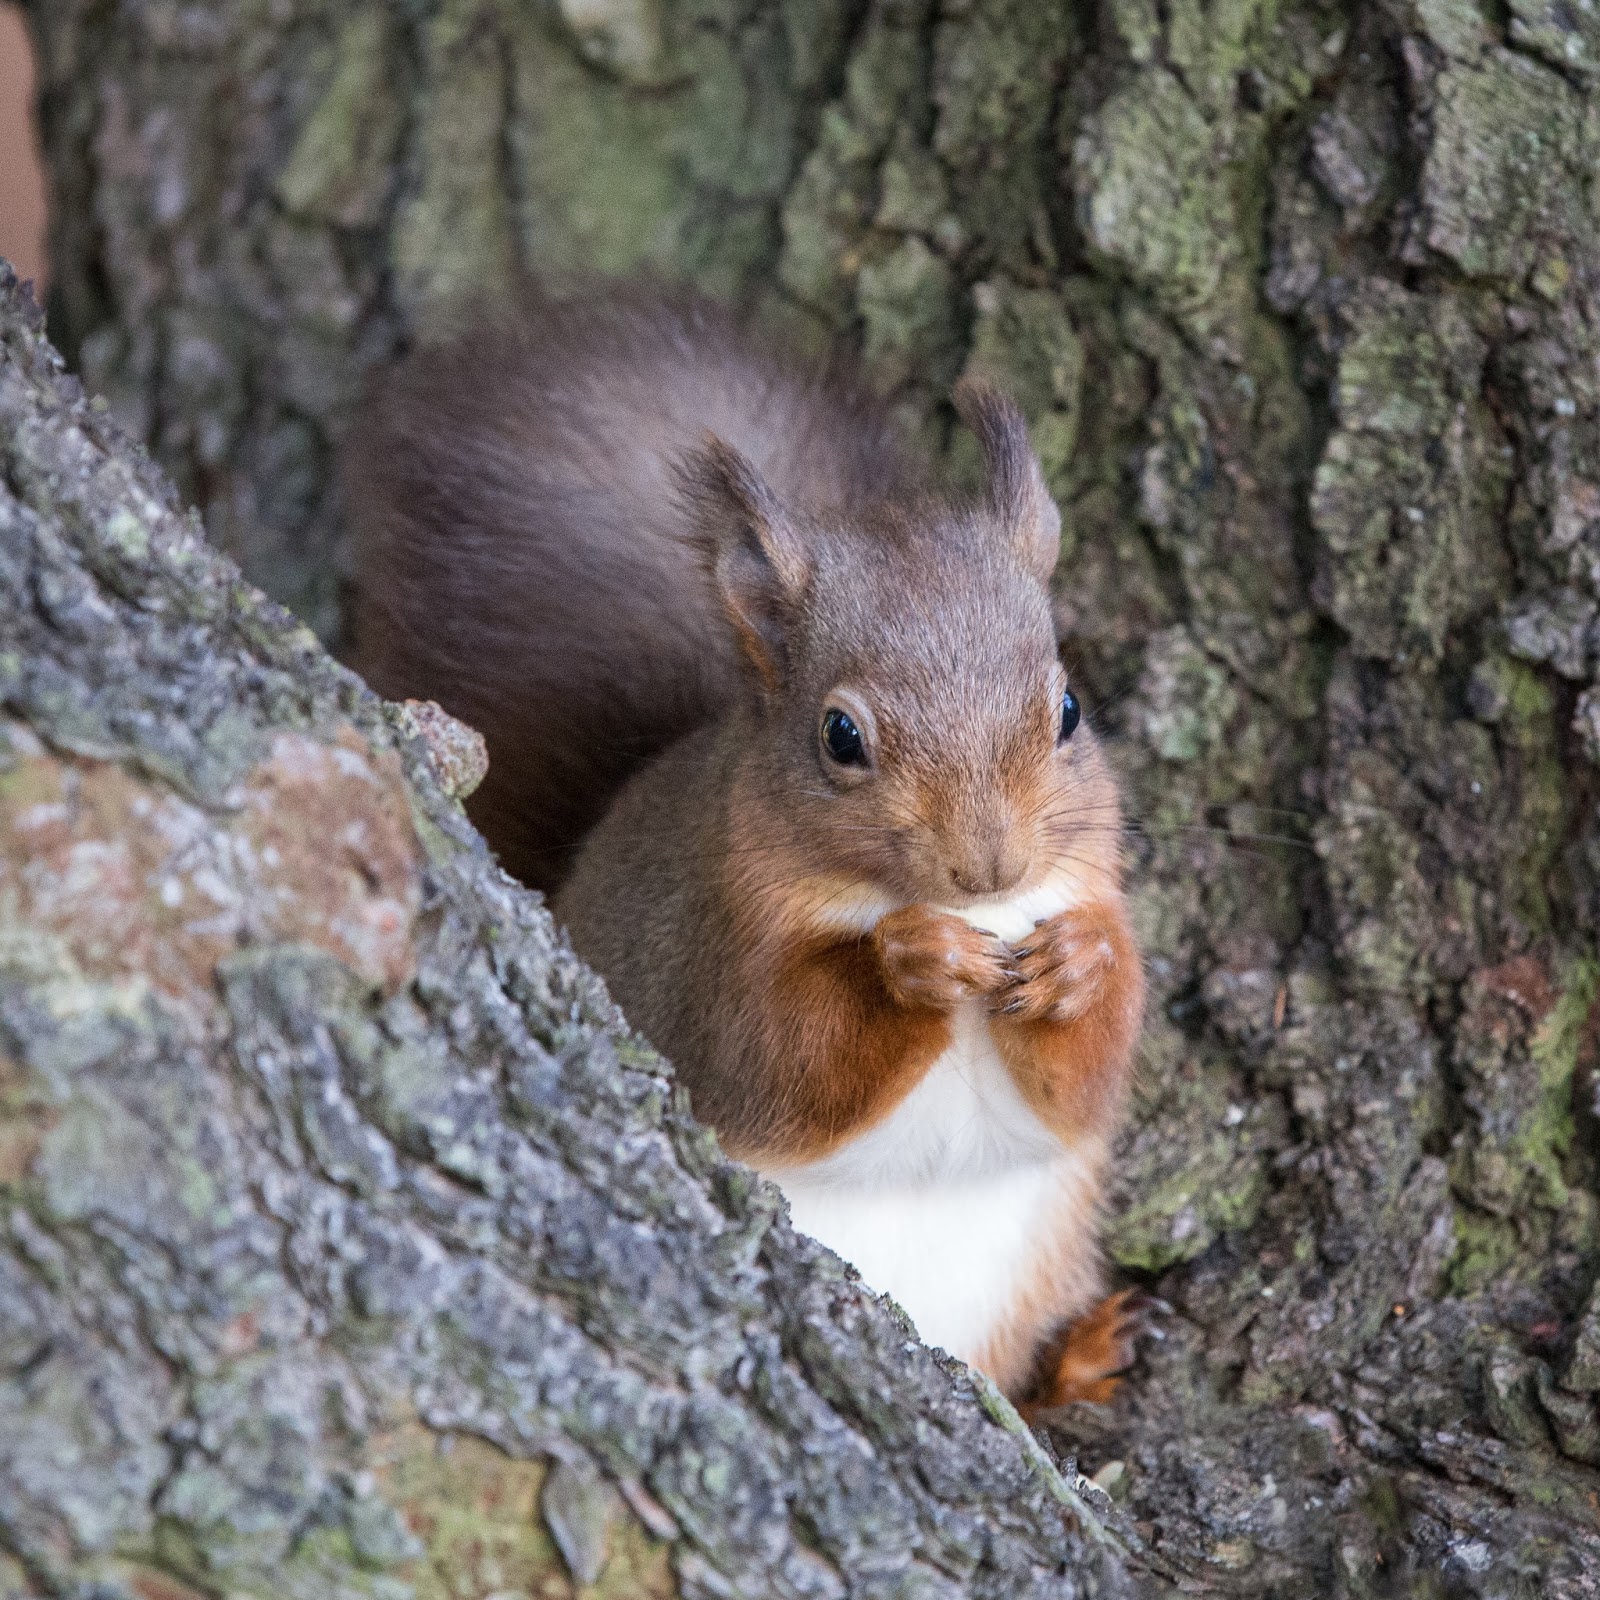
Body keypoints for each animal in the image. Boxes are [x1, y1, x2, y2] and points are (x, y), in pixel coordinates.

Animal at [346, 287, 1145, 1406]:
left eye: (1068, 710)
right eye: (839, 736)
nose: (989, 867)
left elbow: (1092, 1080)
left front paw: (1081, 963)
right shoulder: (711, 948)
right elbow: (783, 1059)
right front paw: (908, 963)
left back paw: (1079, 1358)